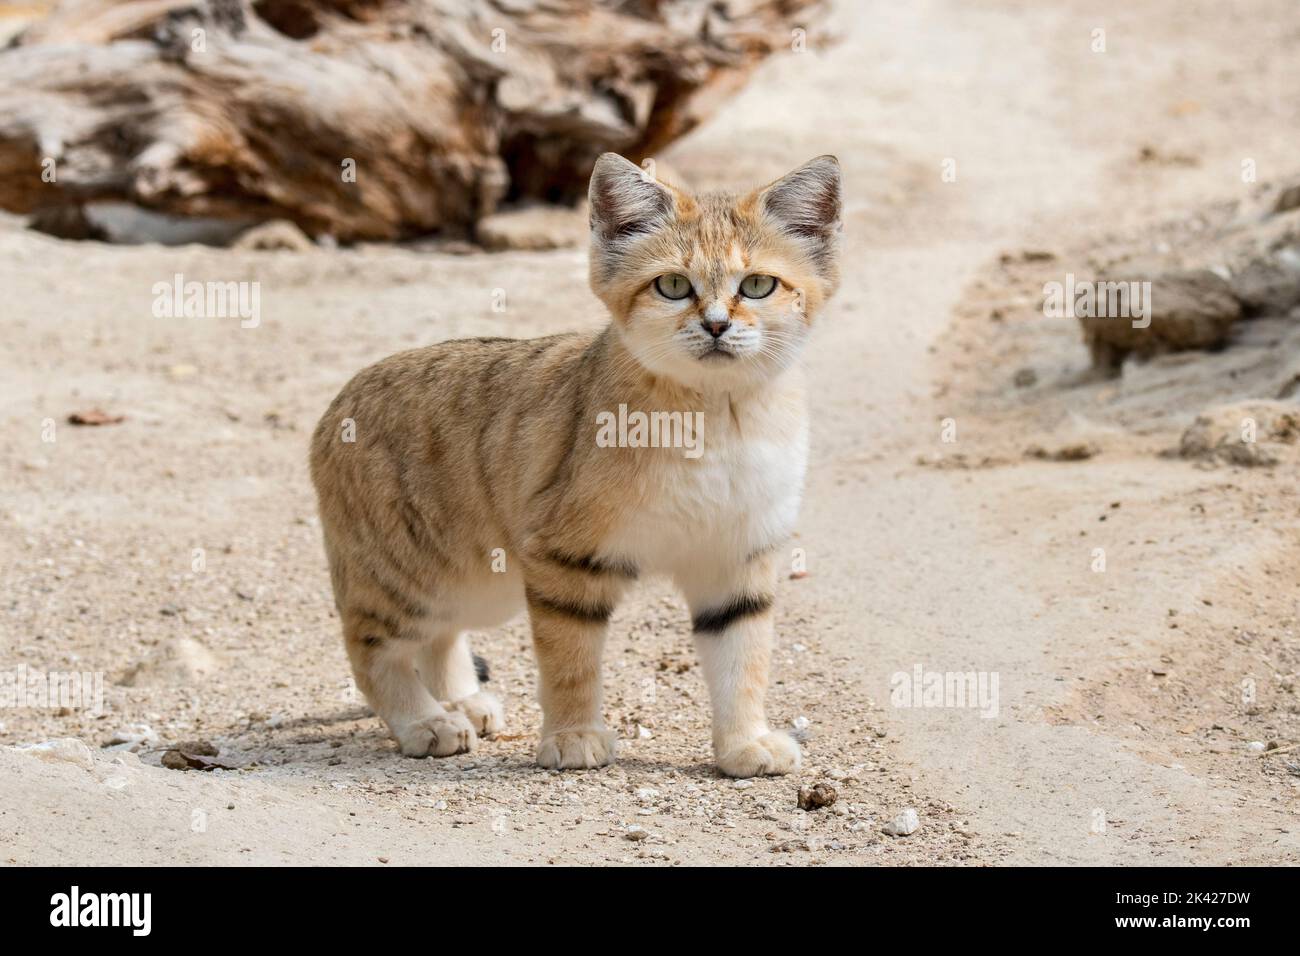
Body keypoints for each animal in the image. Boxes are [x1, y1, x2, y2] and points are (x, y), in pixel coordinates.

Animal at [312, 151, 842, 780]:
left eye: (758, 285)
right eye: (672, 285)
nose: (716, 324)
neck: (716, 415)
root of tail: (339, 401)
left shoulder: (736, 558)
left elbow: (744, 661)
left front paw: (745, 743)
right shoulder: (565, 558)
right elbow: (571, 660)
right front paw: (572, 737)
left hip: (479, 582)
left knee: (439, 635)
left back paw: (462, 700)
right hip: (412, 576)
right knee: (368, 646)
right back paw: (426, 721)